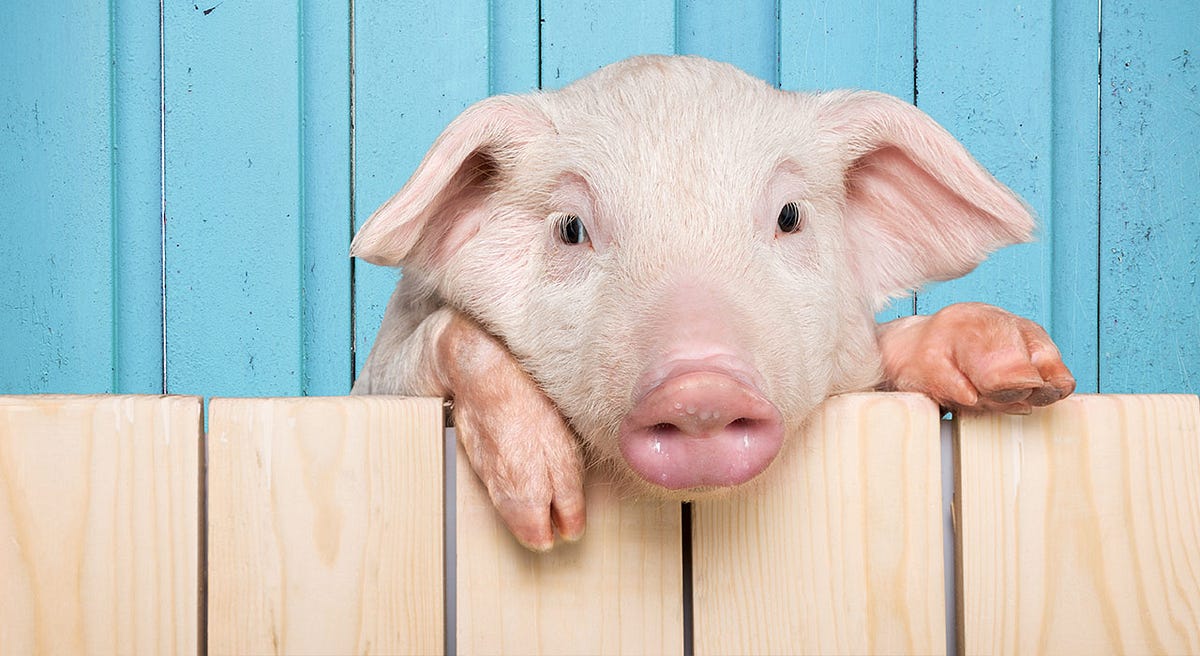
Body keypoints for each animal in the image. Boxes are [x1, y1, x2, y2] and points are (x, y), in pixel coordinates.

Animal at [350, 56, 1075, 551]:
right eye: (571, 228)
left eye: (789, 216)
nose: (700, 386)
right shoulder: (376, 380)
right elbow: (450, 334)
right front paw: (553, 523)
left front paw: (1027, 378)